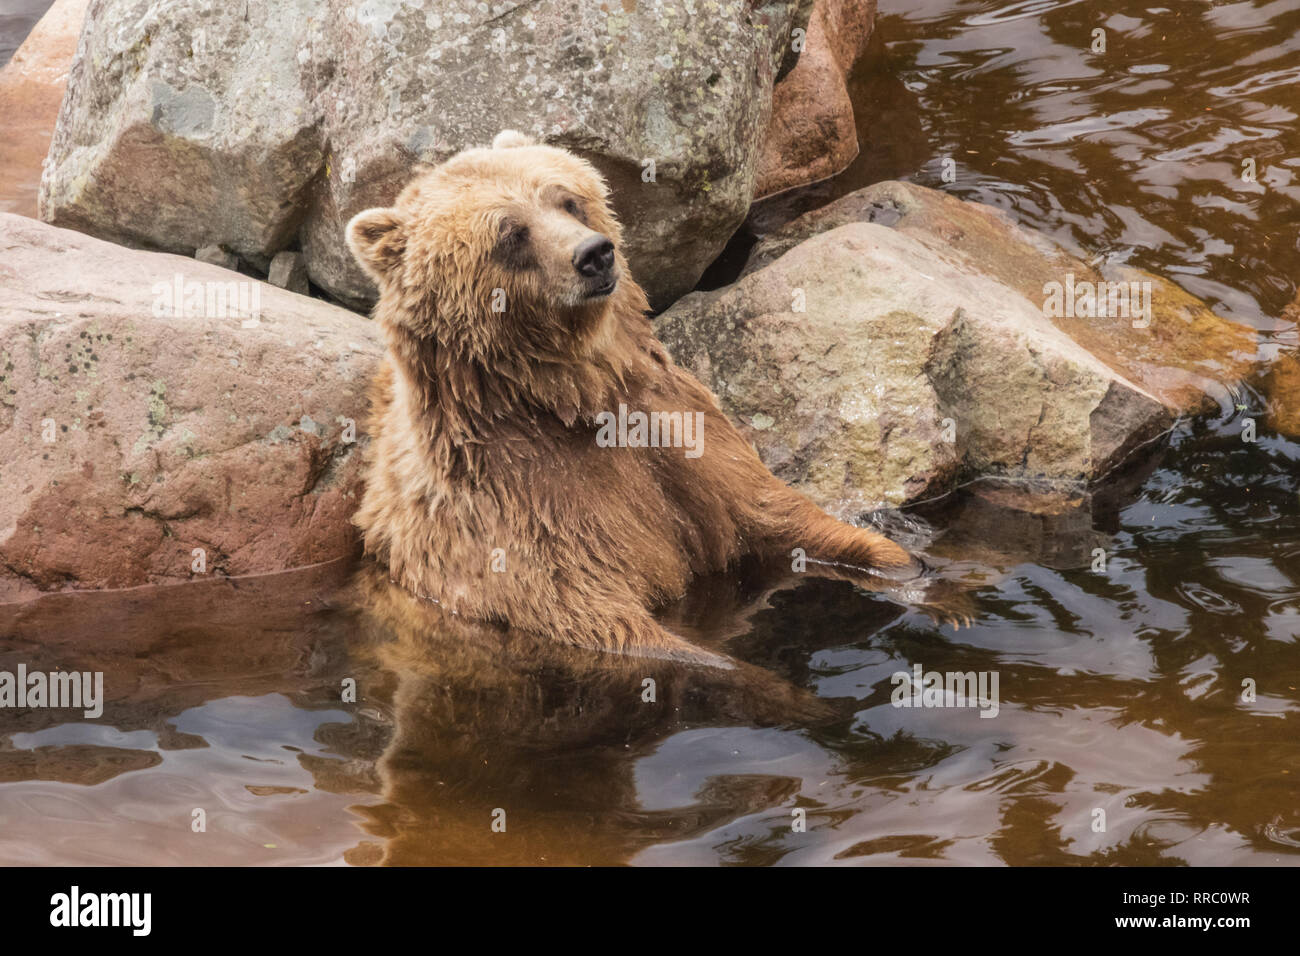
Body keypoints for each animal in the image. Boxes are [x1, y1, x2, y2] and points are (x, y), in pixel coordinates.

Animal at [345, 129, 916, 666]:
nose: (594, 254)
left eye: (568, 200)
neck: (572, 400)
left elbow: (782, 516)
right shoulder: (521, 515)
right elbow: (610, 622)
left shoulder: (677, 436)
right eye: (510, 233)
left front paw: (908, 566)